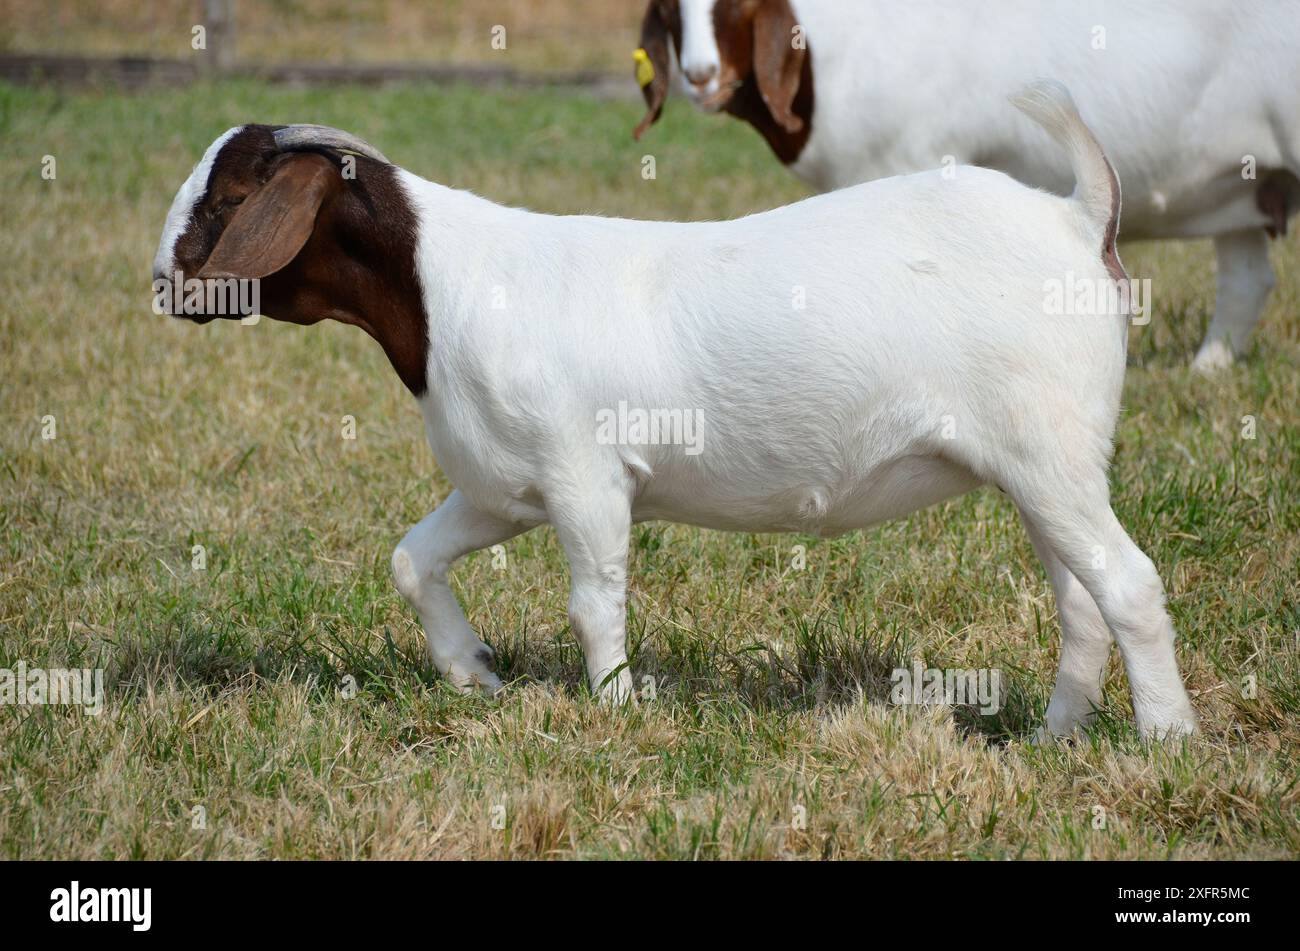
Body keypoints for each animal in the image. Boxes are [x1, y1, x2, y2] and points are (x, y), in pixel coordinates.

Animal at [153, 82, 1197, 739]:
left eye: (228, 199)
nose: (163, 283)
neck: (444, 286)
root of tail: (1076, 216)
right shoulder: (502, 488)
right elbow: (412, 560)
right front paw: (474, 672)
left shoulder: (585, 475)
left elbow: (593, 602)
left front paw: (617, 712)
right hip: (1038, 467)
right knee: (1081, 598)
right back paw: (1055, 737)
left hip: (1049, 451)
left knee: (1129, 584)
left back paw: (1166, 741)